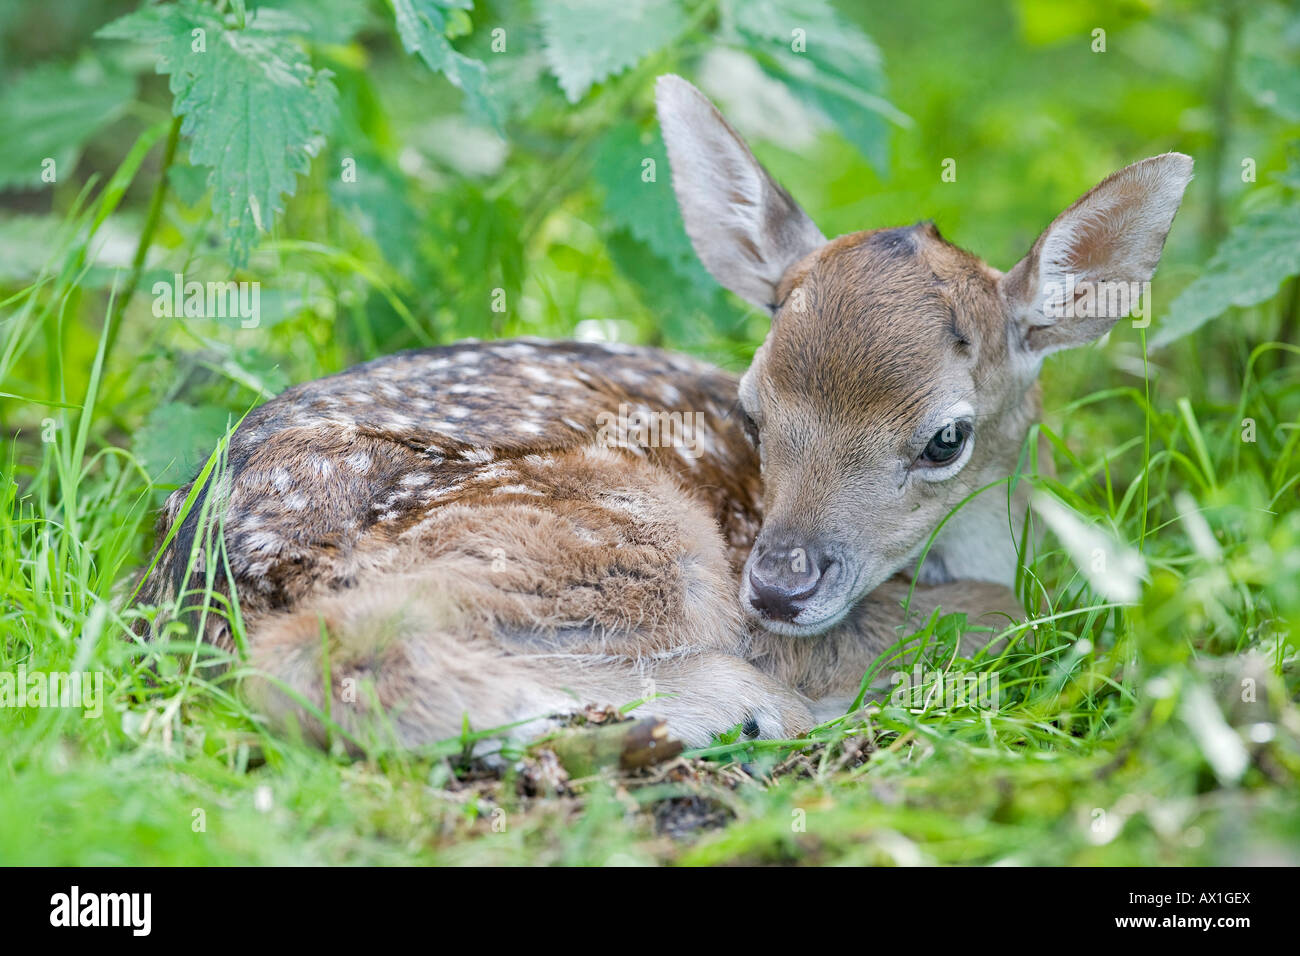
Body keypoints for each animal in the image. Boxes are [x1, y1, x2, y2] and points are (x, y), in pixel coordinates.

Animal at [135, 75, 1192, 752]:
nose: (776, 587)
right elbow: (992, 615)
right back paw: (716, 714)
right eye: (754, 411)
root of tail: (208, 577)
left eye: (946, 439)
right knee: (334, 658)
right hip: (620, 534)